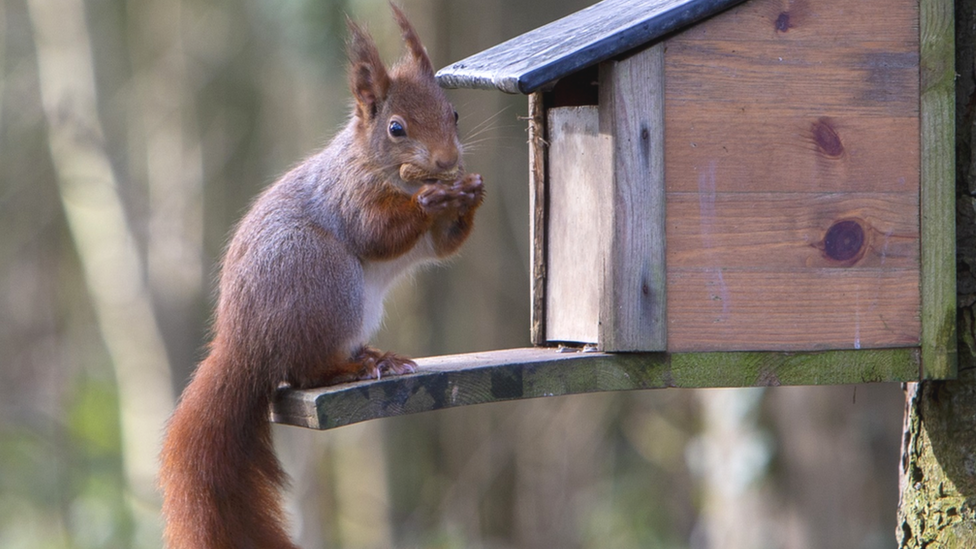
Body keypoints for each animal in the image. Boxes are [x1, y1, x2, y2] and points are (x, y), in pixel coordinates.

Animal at [158, 5, 484, 548]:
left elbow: (445, 245)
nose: (448, 162)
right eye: (396, 128)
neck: (386, 172)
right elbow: (376, 233)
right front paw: (432, 199)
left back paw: (377, 357)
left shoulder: (431, 236)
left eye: (454, 114)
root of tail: (244, 344)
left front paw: (470, 193)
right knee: (305, 371)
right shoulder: (347, 197)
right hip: (326, 282)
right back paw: (351, 369)